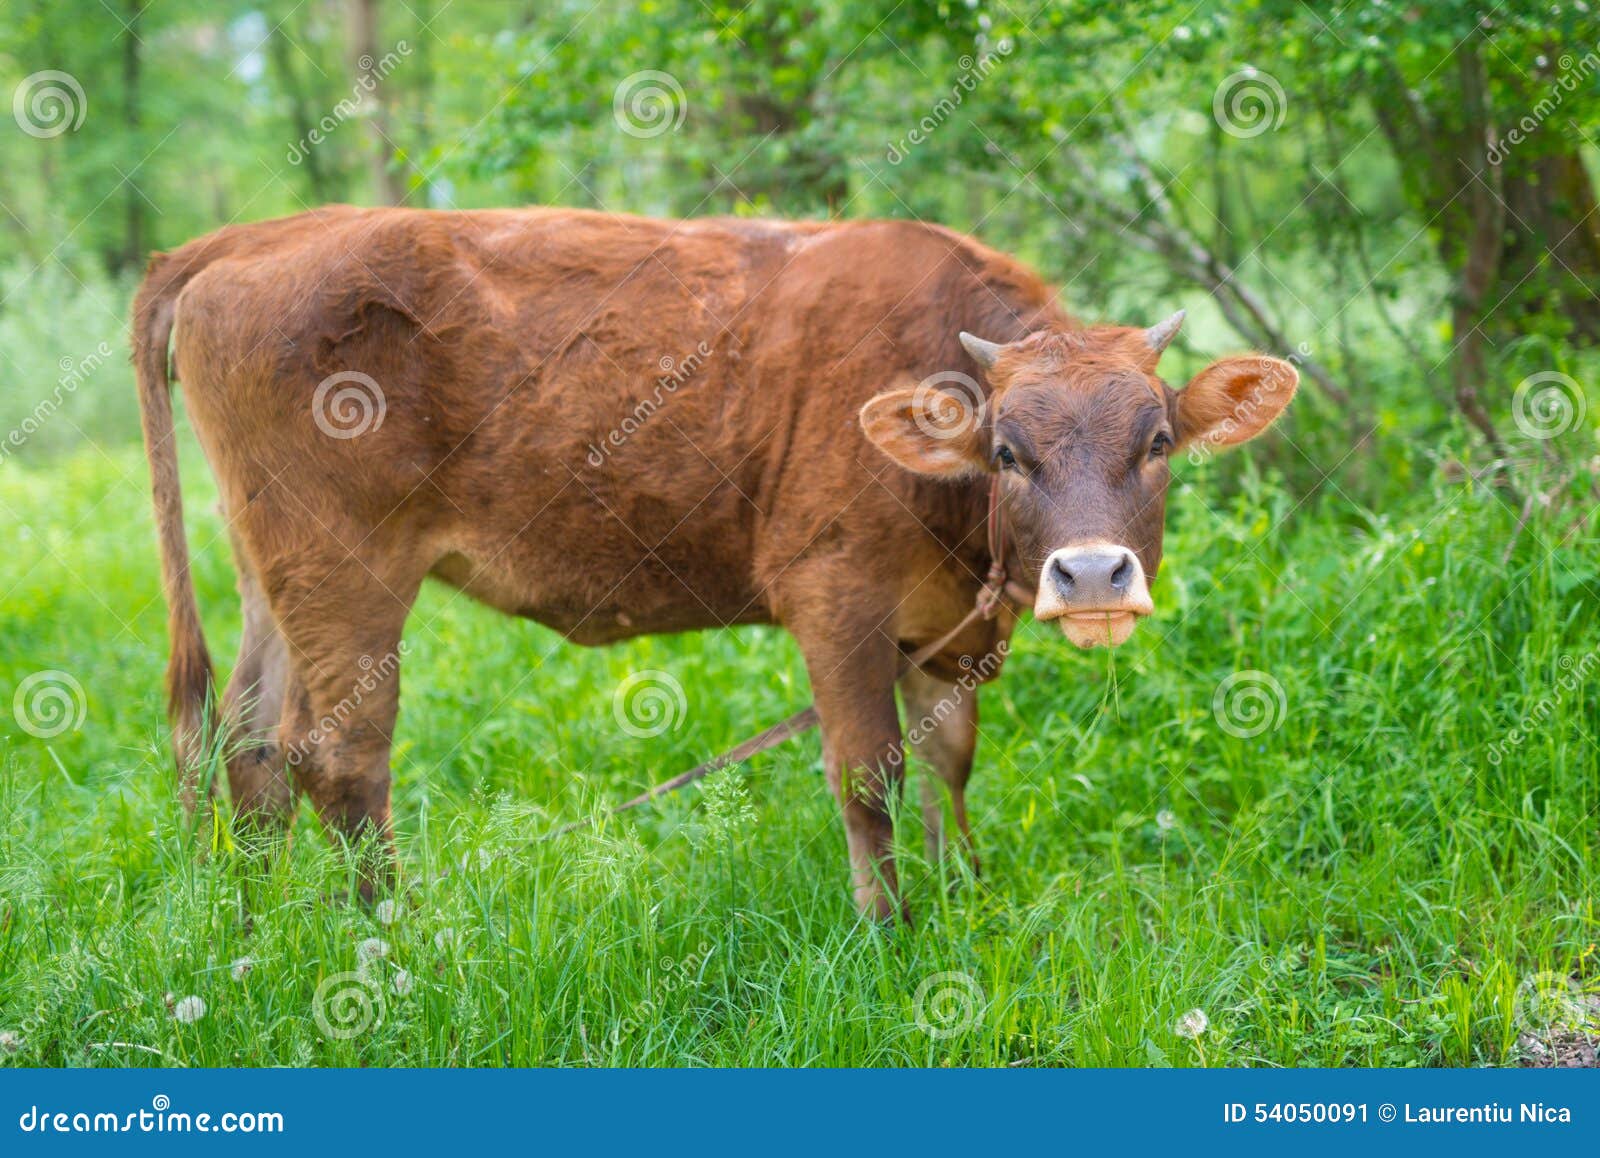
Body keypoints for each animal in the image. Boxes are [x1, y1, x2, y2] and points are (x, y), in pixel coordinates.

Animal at [132, 206, 1296, 920]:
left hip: (272, 567)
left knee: (249, 742)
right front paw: (889, 925)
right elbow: (868, 768)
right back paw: (397, 936)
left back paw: (264, 922)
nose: (1092, 576)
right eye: (1007, 450)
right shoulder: (835, 597)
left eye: (1157, 442)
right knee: (336, 754)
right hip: (347, 569)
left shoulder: (944, 624)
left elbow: (949, 754)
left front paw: (961, 885)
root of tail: (253, 236)